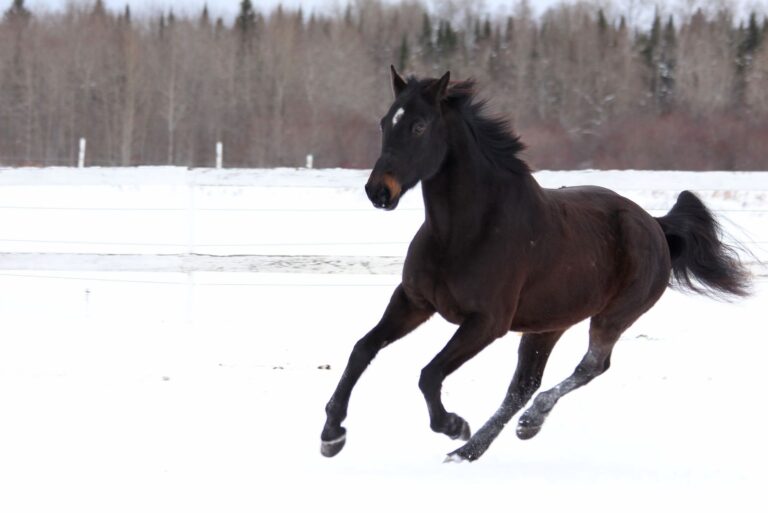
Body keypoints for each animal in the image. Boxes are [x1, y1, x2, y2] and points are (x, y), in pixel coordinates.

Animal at [320, 67, 750, 462]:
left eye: (419, 125)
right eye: (385, 122)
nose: (379, 191)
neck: (464, 233)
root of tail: (657, 226)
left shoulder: (486, 322)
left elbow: (430, 374)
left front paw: (453, 424)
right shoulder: (413, 301)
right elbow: (362, 349)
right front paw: (332, 434)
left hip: (612, 316)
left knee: (590, 367)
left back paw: (516, 427)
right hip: (547, 325)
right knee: (524, 385)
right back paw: (477, 448)